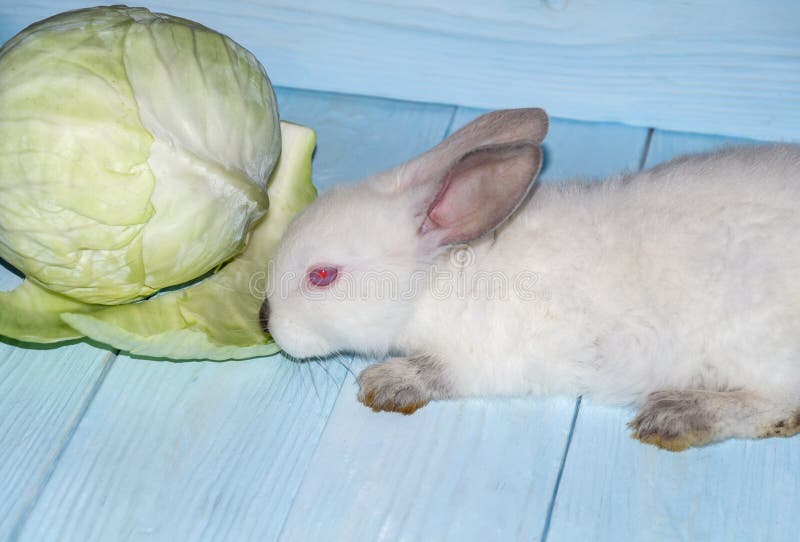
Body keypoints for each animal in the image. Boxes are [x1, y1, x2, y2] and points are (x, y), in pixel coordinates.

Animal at [260, 108, 800, 451]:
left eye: (322, 275)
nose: (266, 320)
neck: (439, 277)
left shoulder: (483, 358)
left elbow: (437, 373)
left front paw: (387, 382)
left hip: (753, 346)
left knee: (778, 406)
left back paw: (676, 415)